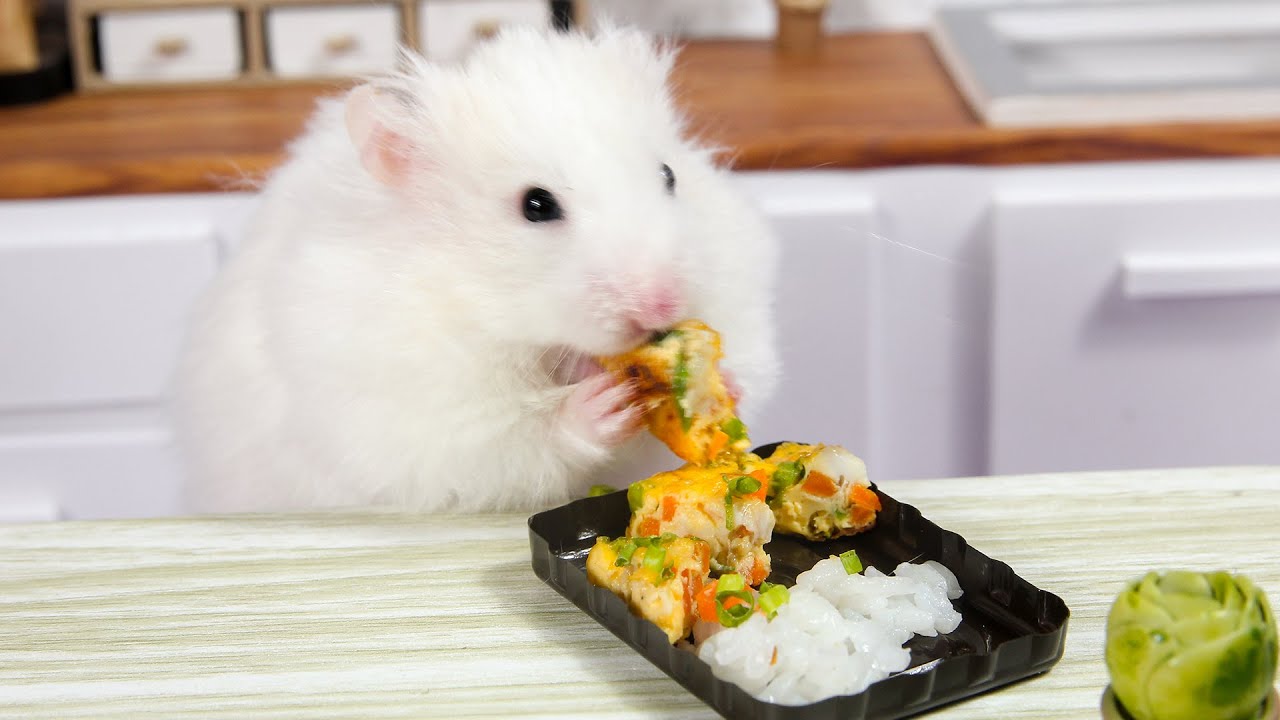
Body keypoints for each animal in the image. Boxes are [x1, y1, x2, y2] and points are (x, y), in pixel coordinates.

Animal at [173, 24, 780, 514]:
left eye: (669, 175)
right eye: (535, 205)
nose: (663, 304)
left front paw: (722, 383)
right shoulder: (426, 420)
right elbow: (524, 438)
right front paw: (605, 402)